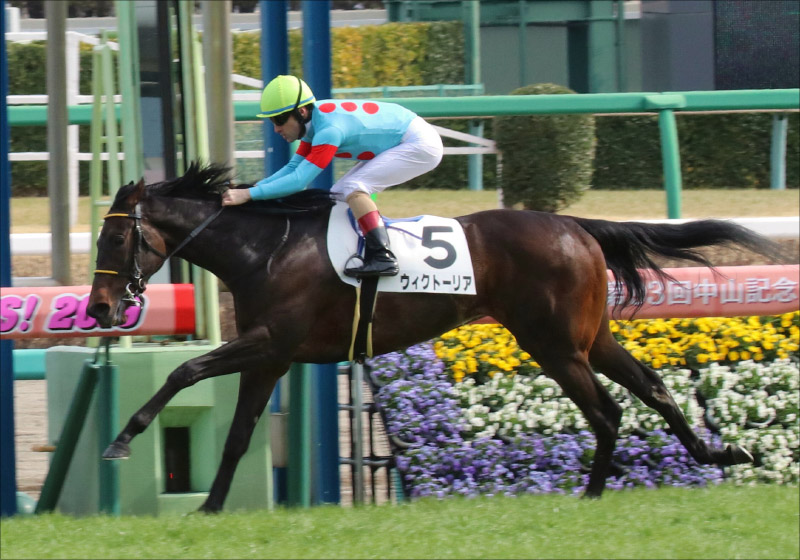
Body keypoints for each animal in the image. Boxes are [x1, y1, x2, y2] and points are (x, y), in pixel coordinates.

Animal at [87, 162, 786, 513]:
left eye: (117, 238)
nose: (97, 307)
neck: (266, 250)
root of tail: (574, 224)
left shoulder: (269, 342)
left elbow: (183, 372)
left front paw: (121, 441)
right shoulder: (273, 357)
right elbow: (235, 437)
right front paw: (209, 508)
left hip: (555, 344)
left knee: (607, 411)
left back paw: (589, 494)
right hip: (590, 338)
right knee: (653, 386)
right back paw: (719, 454)